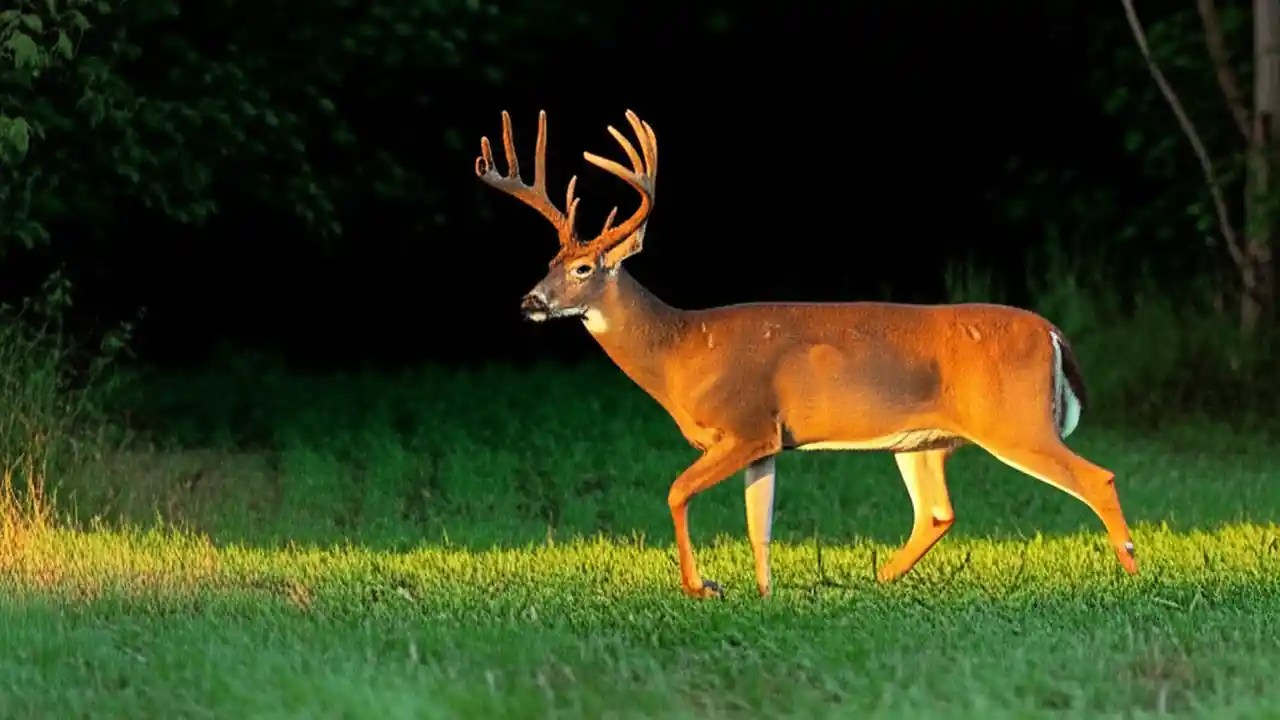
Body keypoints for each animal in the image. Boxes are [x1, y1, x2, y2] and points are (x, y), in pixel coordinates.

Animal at [473, 108, 1140, 599]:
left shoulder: (744, 425)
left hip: (1014, 419)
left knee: (1098, 476)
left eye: (584, 268)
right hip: (922, 439)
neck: (680, 348)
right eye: (549, 262)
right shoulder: (768, 440)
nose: (530, 301)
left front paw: (702, 588)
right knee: (937, 512)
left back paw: (1132, 573)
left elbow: (677, 492)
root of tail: (1053, 333)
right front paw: (766, 596)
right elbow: (758, 526)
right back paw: (876, 580)